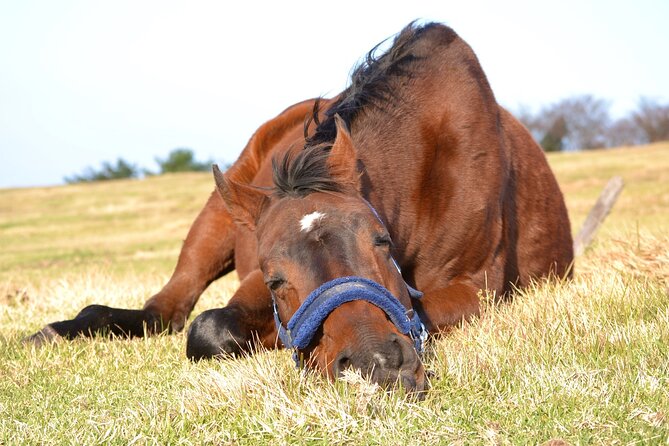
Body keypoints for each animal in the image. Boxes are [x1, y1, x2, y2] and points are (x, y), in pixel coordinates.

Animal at [26, 22, 574, 393]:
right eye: (276, 280)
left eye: (382, 242)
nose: (375, 366)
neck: (428, 155)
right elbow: (210, 327)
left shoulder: (476, 288)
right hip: (216, 220)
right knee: (168, 310)